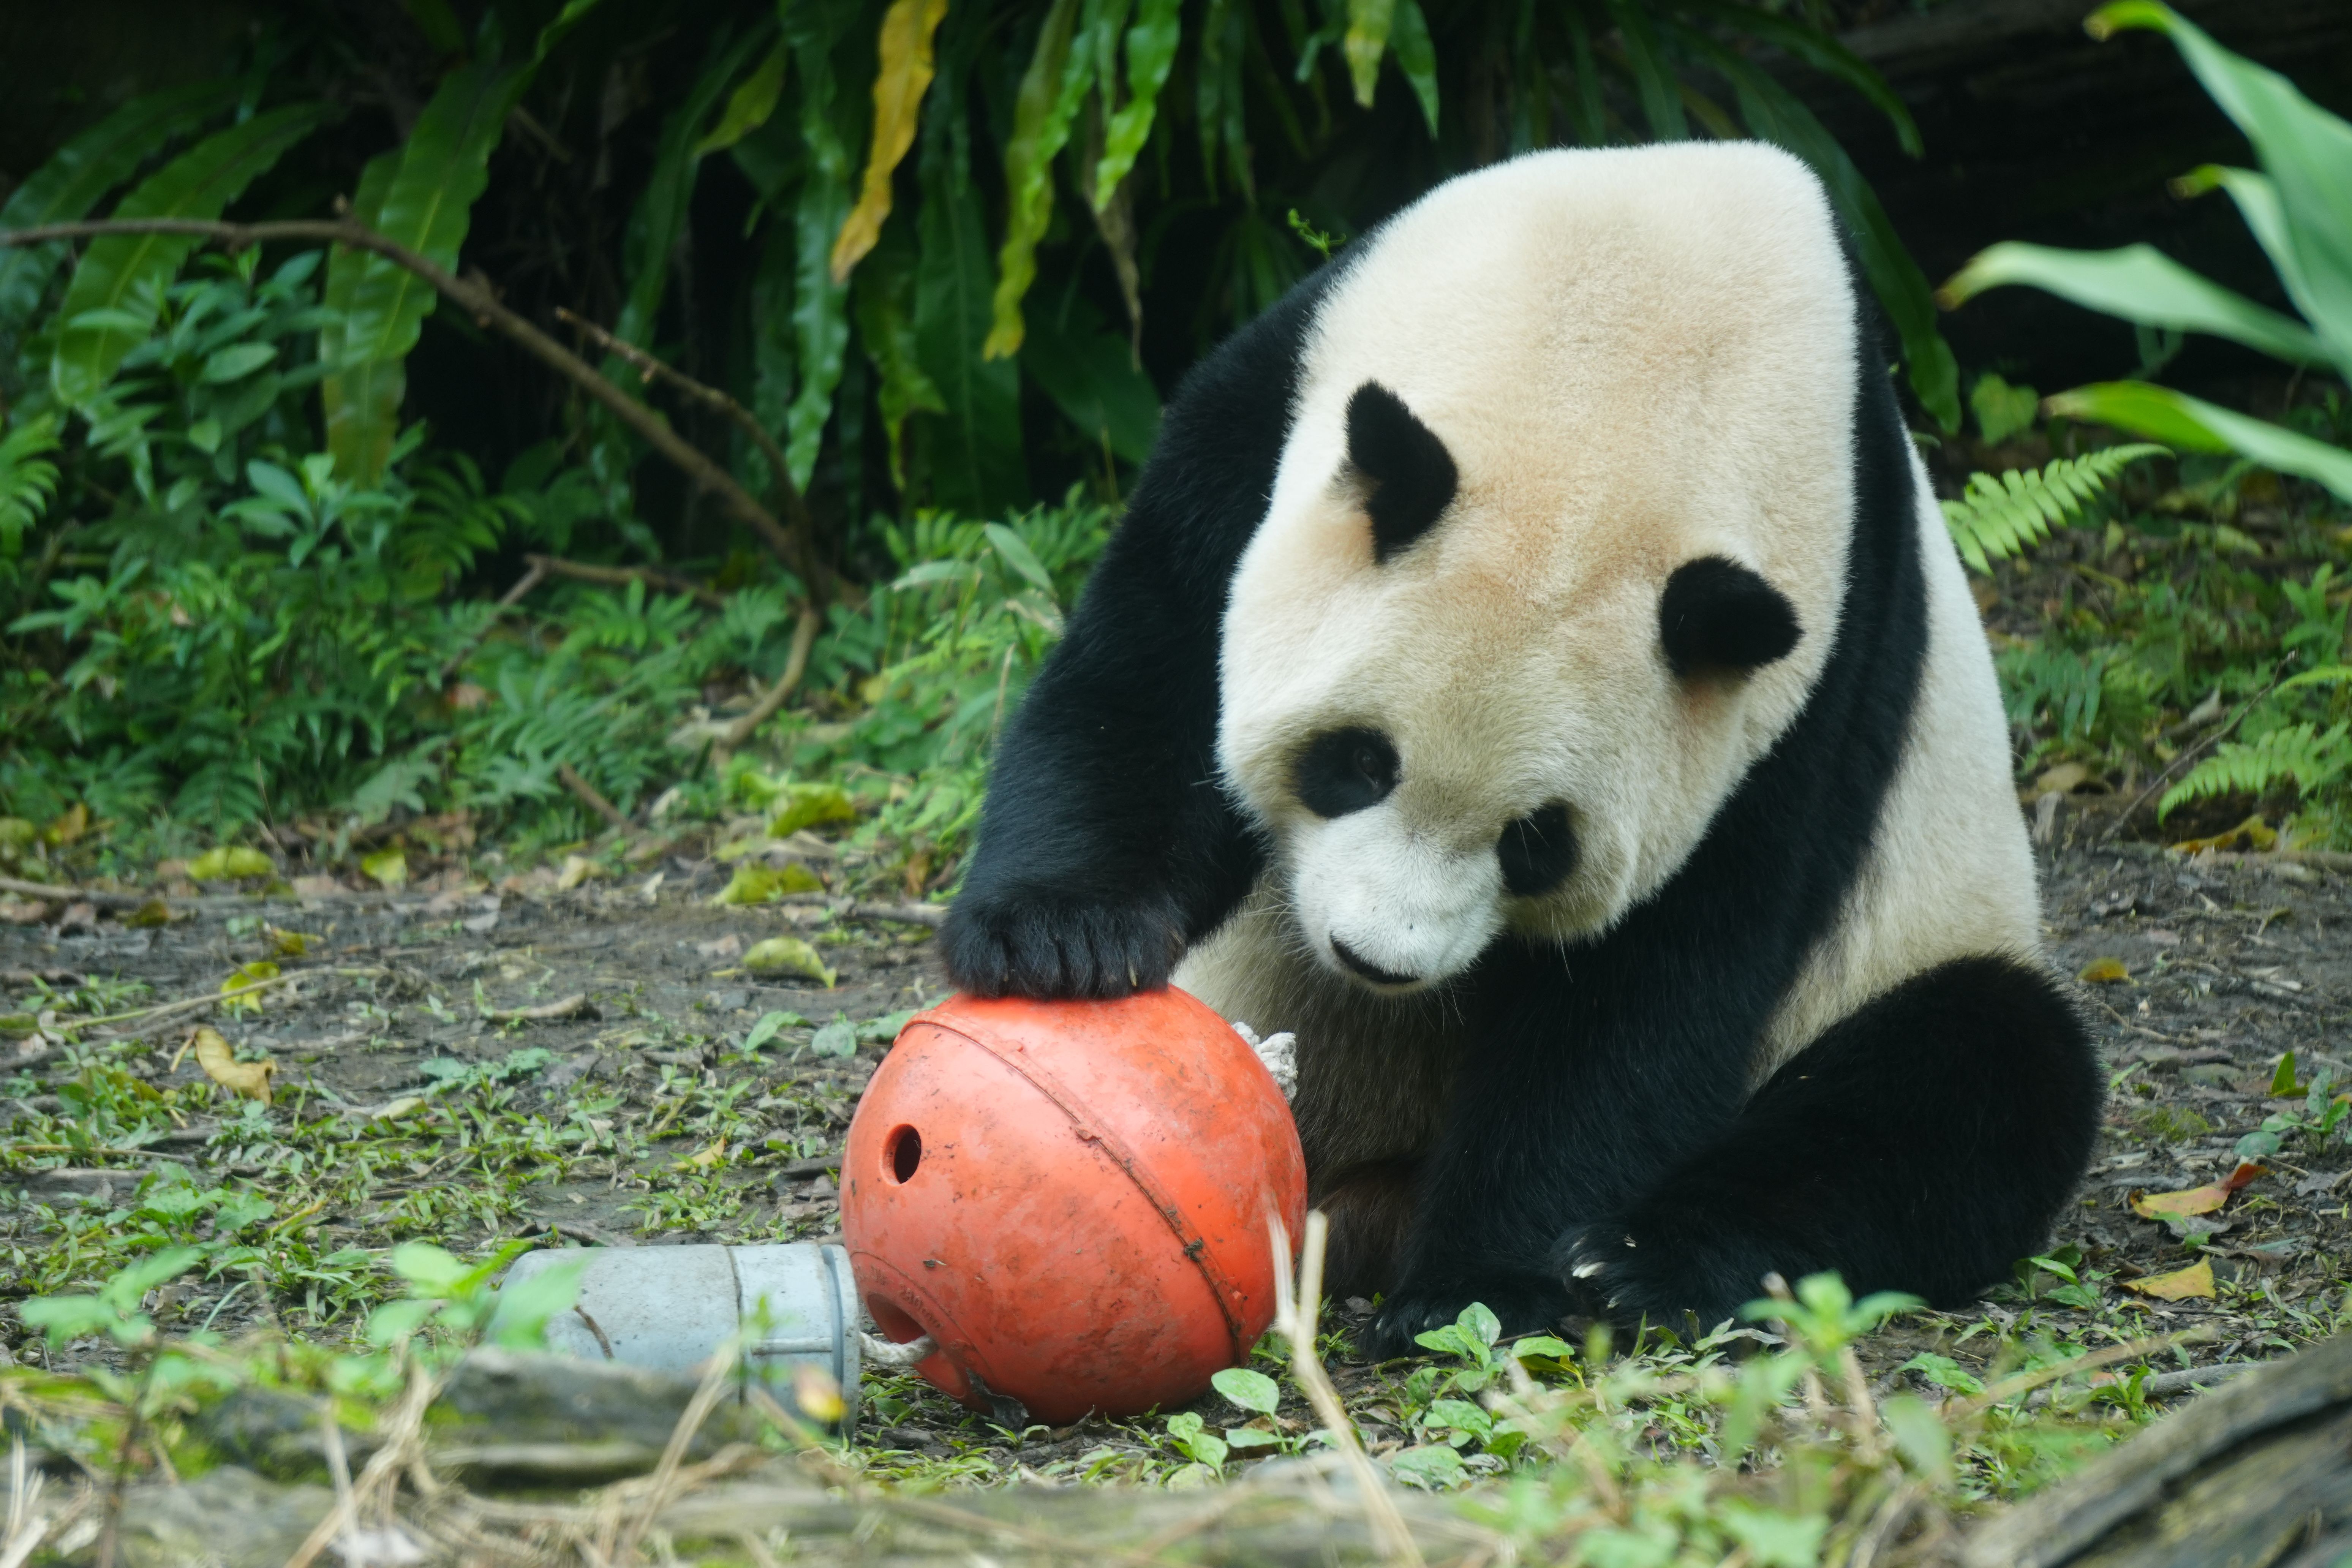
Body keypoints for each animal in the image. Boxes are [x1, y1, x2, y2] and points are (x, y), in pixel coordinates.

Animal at [940, 141, 2102, 1356]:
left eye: (1535, 842)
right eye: (1356, 761)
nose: (1376, 960)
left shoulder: (1811, 670)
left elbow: (1652, 982)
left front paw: (1483, 1286)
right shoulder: (1273, 399)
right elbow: (1149, 667)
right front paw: (1063, 944)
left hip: (1912, 949)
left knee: (1971, 1075)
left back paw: (1641, 1260)